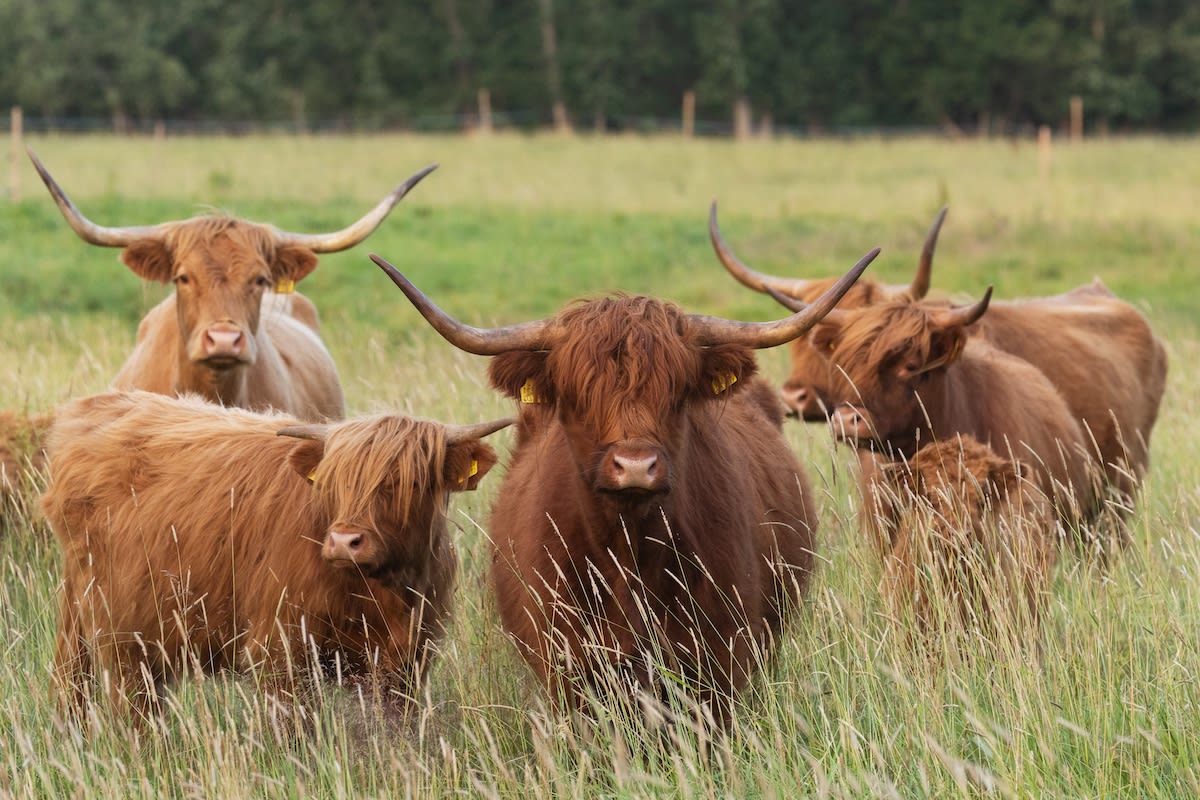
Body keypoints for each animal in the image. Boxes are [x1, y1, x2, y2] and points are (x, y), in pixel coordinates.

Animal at [41, 390, 510, 718]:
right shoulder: (281, 650)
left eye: (411, 481)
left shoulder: (407, 660)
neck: (377, 591)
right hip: (116, 626)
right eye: (332, 482)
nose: (345, 542)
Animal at [368, 246, 878, 723]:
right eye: (576, 396)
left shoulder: (720, 663)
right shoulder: (570, 668)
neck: (629, 553)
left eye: (678, 393)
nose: (635, 466)